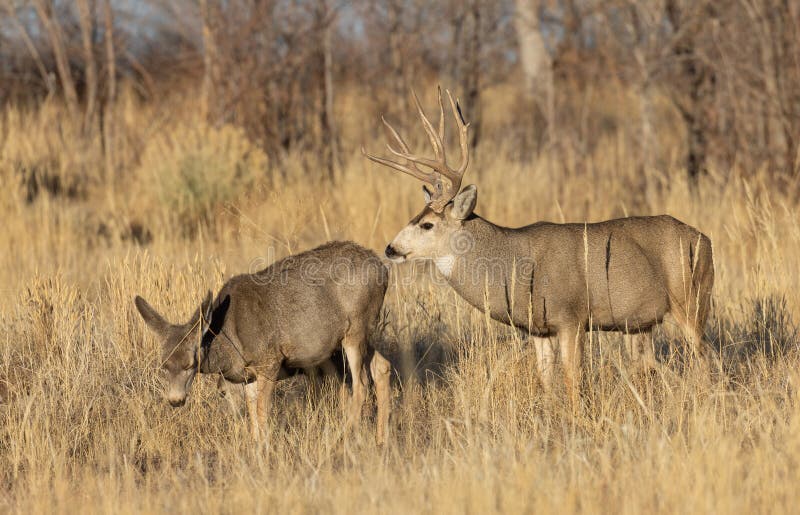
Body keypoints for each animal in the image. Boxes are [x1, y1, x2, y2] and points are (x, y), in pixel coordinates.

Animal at [134, 241, 392, 444]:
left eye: (189, 363)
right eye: (164, 366)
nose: (175, 400)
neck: (230, 338)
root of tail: (383, 270)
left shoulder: (270, 359)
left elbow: (261, 410)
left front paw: (266, 448)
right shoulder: (248, 375)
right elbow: (252, 414)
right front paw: (256, 447)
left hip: (355, 330)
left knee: (361, 382)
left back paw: (343, 437)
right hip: (365, 332)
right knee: (382, 366)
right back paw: (381, 440)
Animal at [362, 88, 714, 400]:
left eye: (427, 224)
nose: (390, 248)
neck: (516, 263)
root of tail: (705, 239)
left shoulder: (572, 317)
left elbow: (572, 381)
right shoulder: (538, 329)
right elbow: (546, 380)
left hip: (691, 300)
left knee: (704, 359)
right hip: (641, 324)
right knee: (652, 364)